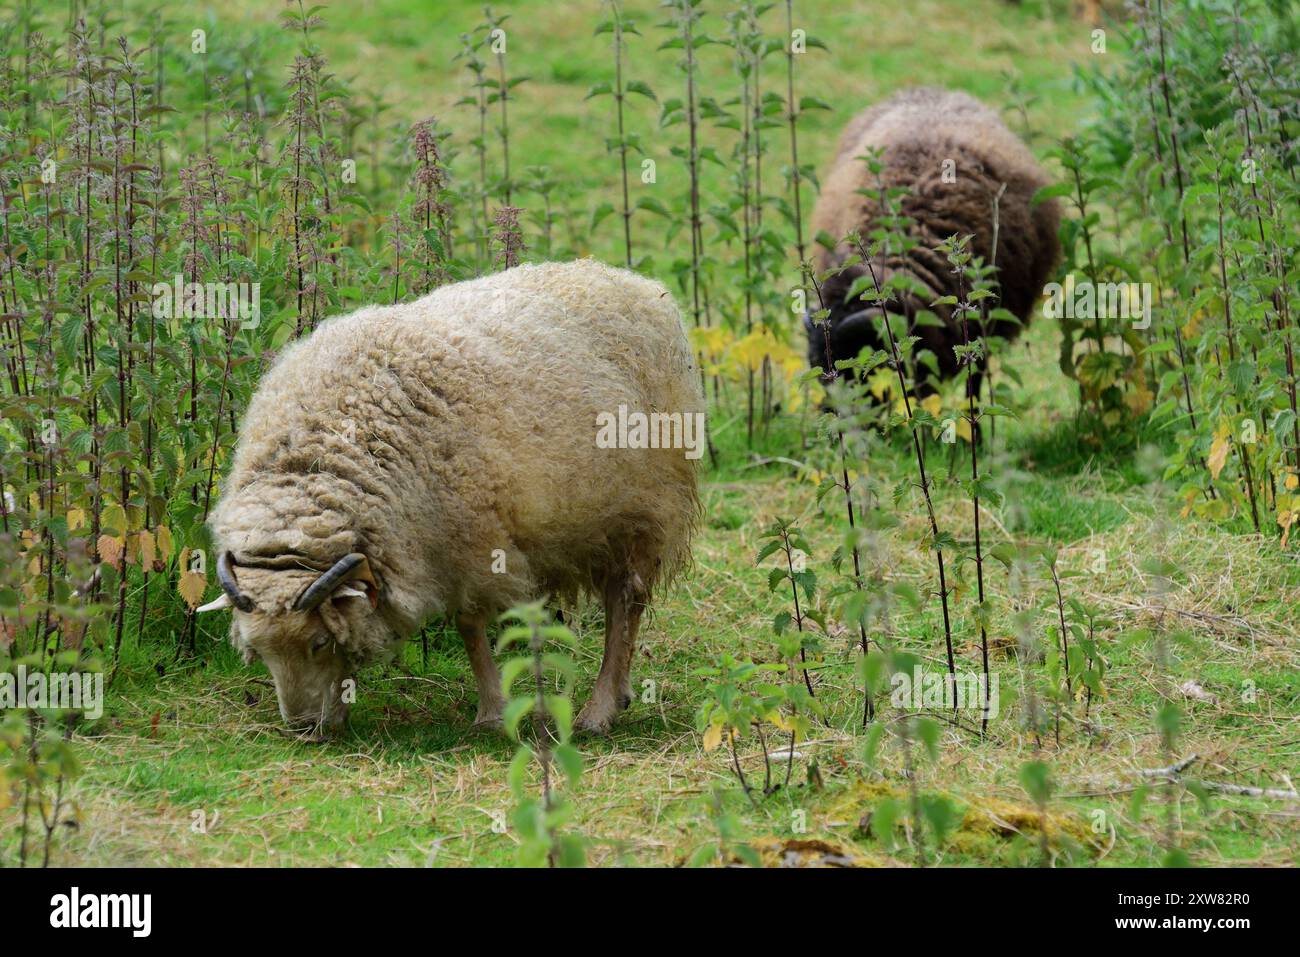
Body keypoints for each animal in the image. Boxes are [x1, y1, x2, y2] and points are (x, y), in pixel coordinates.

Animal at [198, 260, 703, 736]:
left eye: (319, 642)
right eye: (258, 651)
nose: (303, 729)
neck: (318, 464)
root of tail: (631, 281)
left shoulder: (473, 540)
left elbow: (470, 627)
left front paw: (492, 712)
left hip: (644, 509)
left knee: (626, 604)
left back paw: (598, 710)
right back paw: (621, 693)